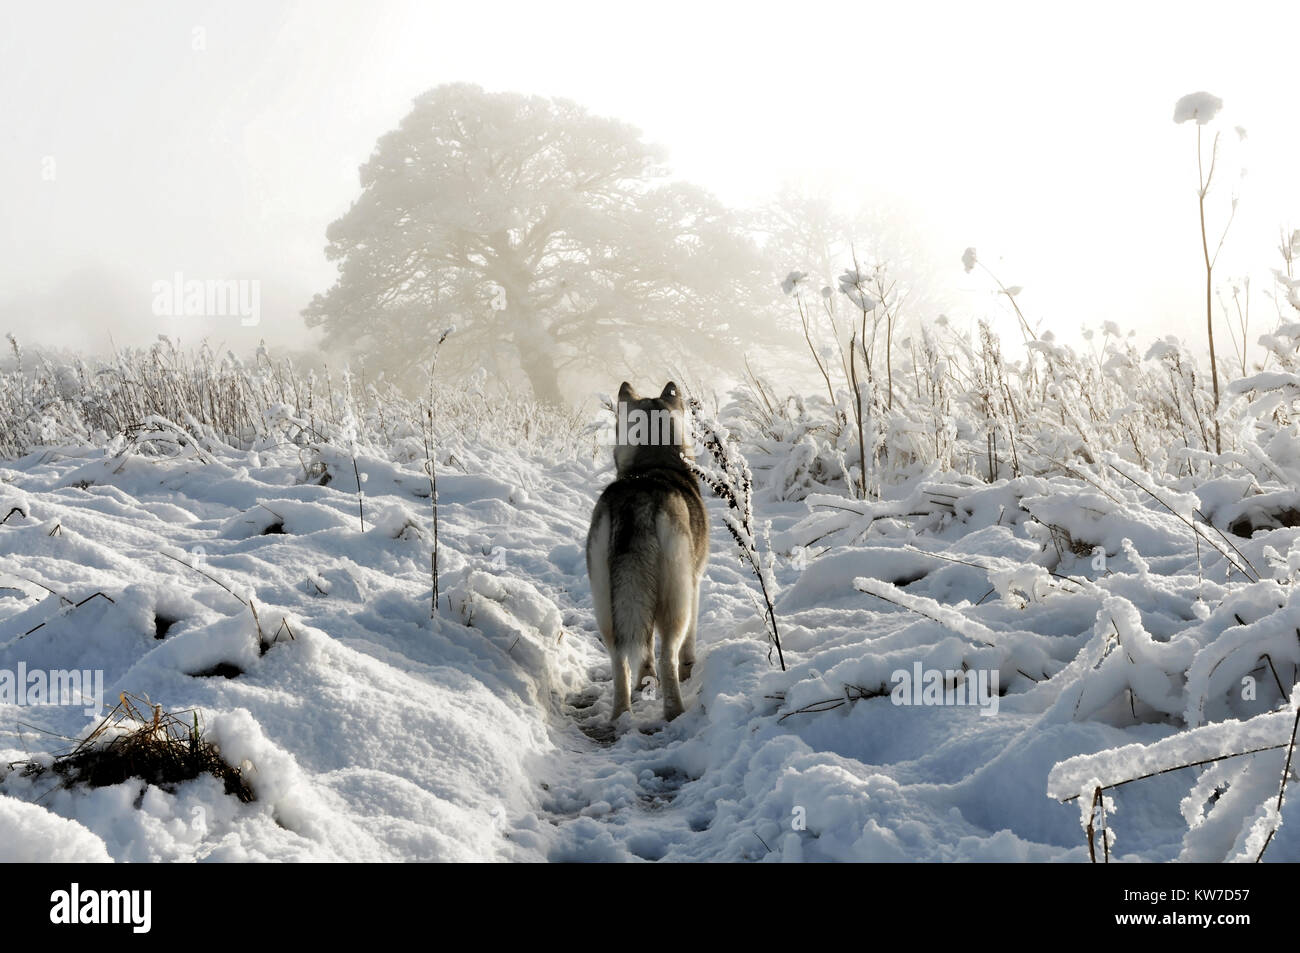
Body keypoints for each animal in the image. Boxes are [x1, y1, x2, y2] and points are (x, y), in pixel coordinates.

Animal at [586, 382, 709, 723]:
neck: (653, 464)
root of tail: (637, 498)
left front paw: (645, 682)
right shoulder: (694, 582)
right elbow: (687, 646)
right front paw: (688, 671)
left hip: (607, 604)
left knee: (620, 660)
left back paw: (621, 716)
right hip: (676, 599)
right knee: (668, 654)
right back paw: (674, 712)